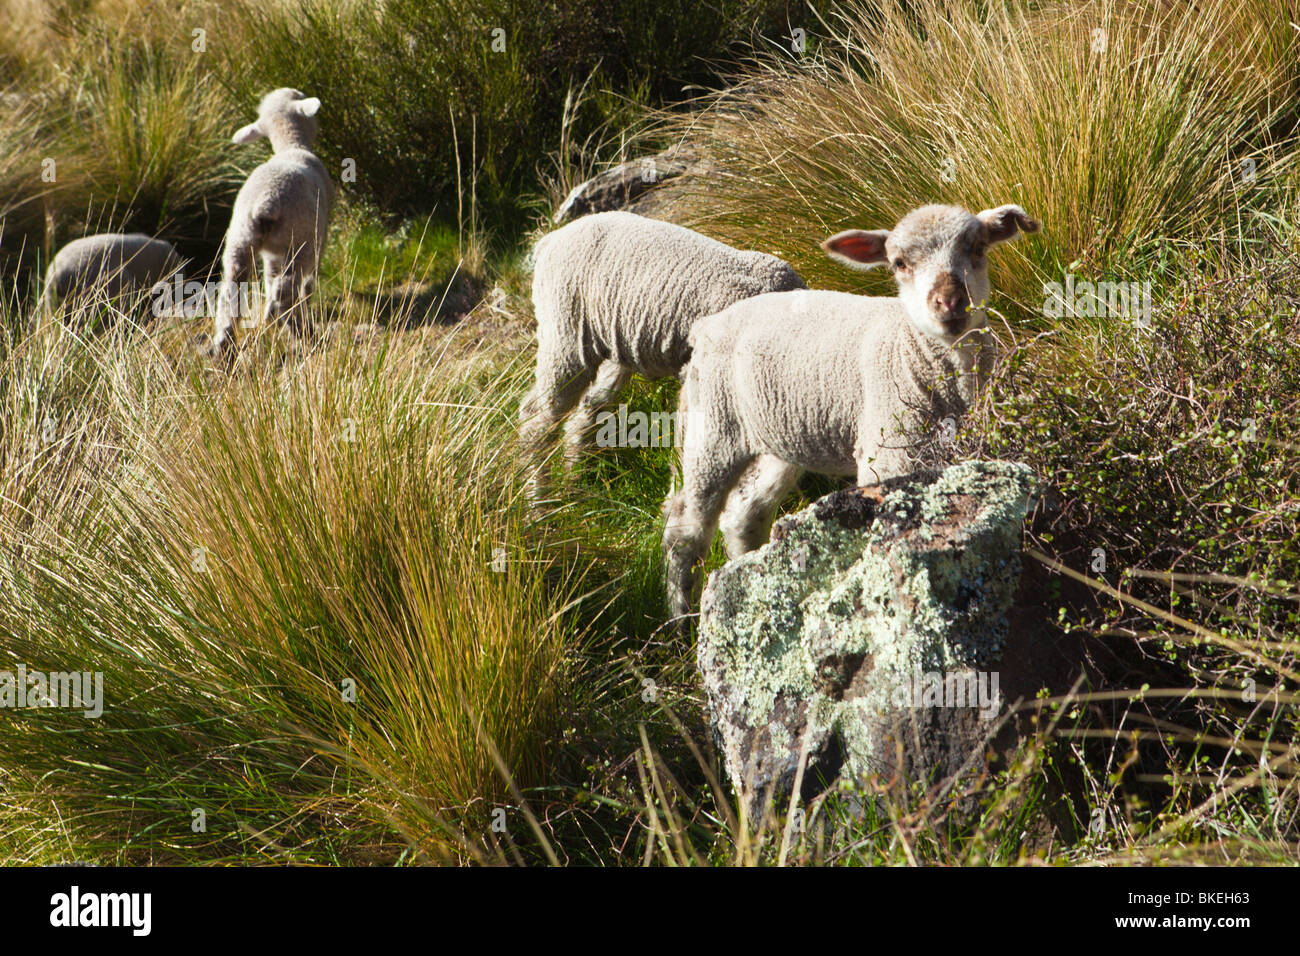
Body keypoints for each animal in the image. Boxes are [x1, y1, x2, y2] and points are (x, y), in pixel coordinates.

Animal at [211, 88, 334, 357]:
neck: (291, 145)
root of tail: (265, 202)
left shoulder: (271, 253)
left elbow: (268, 278)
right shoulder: (319, 237)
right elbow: (310, 282)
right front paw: (308, 299)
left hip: (240, 241)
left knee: (231, 297)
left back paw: (224, 347)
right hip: (299, 243)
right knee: (285, 295)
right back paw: (302, 332)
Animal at [519, 210, 805, 498]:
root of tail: (550, 240)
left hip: (613, 344)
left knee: (585, 410)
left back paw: (574, 481)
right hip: (564, 329)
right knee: (536, 417)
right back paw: (538, 497)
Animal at [661, 203, 1040, 616]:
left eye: (978, 248)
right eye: (899, 263)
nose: (950, 301)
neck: (908, 348)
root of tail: (707, 325)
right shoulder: (890, 453)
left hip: (782, 433)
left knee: (744, 513)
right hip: (712, 428)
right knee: (686, 527)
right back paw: (681, 616)